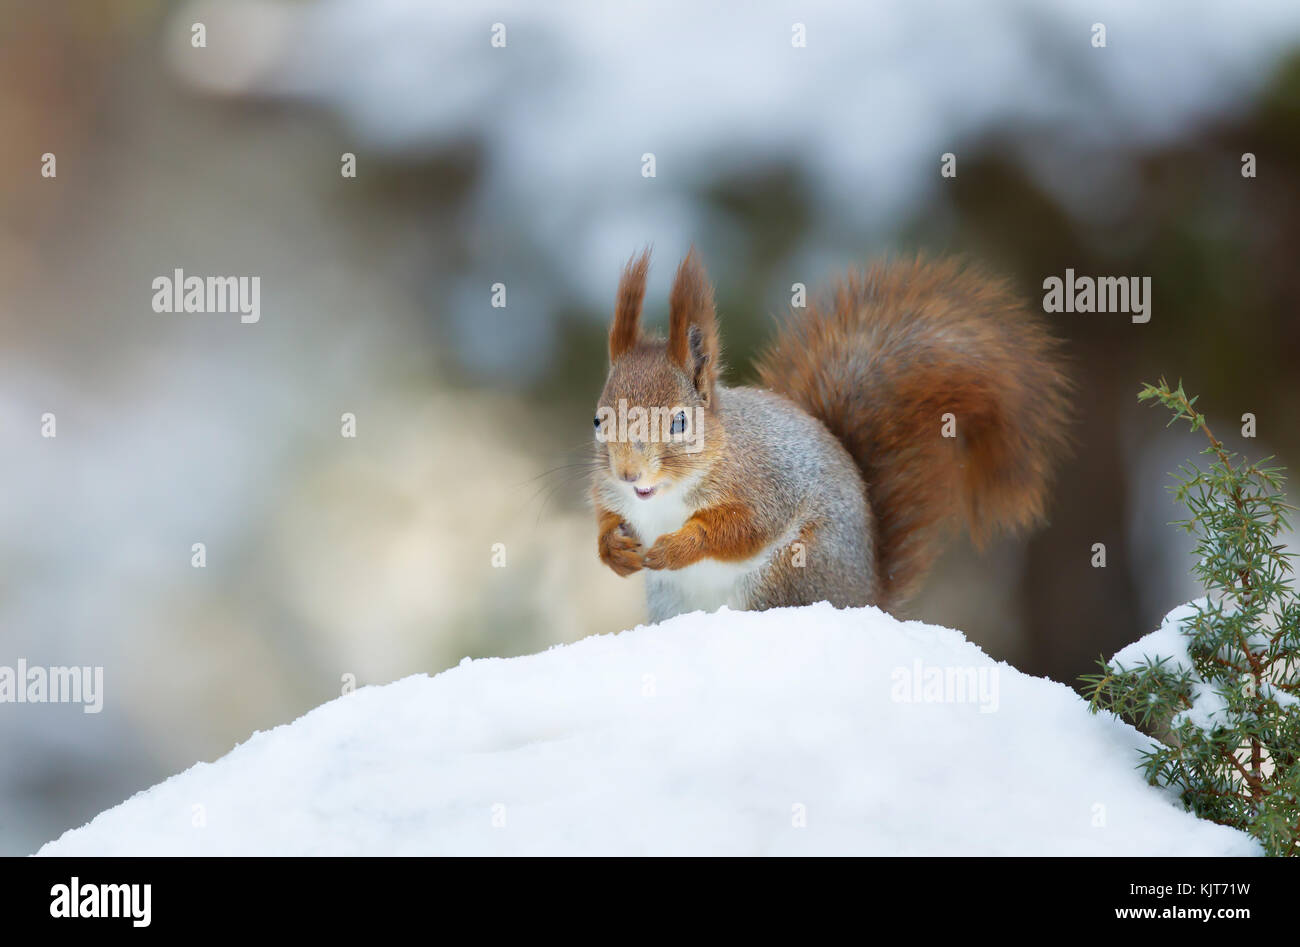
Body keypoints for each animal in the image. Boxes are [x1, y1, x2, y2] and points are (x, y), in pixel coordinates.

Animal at [591, 248, 1071, 623]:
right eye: (598, 421)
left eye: (679, 423)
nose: (629, 474)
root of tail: (868, 597)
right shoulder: (609, 494)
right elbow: (605, 519)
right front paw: (614, 549)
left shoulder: (764, 484)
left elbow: (741, 529)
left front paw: (675, 548)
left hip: (792, 573)